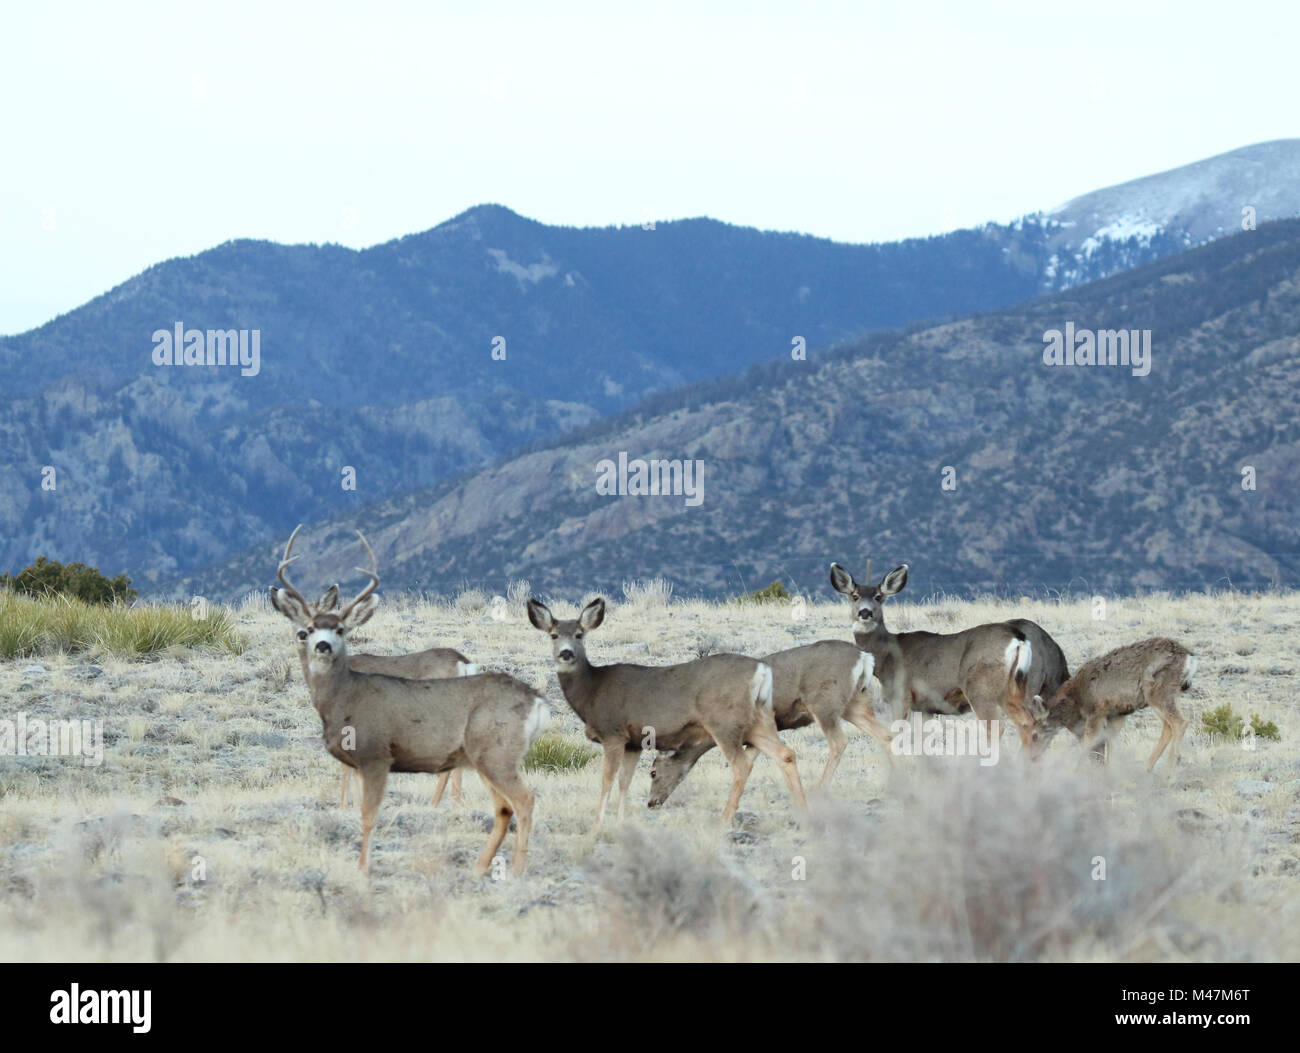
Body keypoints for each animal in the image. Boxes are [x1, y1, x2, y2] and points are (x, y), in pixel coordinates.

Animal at [526, 597, 807, 833]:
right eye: (553, 635)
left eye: (579, 634)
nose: (566, 653)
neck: (591, 692)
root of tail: (761, 670)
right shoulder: (633, 742)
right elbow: (624, 782)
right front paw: (620, 823)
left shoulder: (613, 733)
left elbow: (607, 780)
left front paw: (597, 827)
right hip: (759, 719)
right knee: (785, 754)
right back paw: (803, 812)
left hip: (723, 721)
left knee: (742, 765)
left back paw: (725, 819)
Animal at [647, 641, 889, 808]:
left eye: (653, 772)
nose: (651, 803)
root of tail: (864, 657)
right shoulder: (755, 736)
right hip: (856, 702)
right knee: (885, 735)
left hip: (824, 702)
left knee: (839, 742)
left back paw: (819, 790)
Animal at [829, 560, 1041, 747]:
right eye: (855, 596)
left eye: (879, 597)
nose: (865, 612)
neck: (887, 656)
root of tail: (1018, 637)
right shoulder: (925, 706)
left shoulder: (900, 694)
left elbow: (899, 732)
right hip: (1014, 688)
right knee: (1028, 722)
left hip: (981, 688)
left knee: (997, 728)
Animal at [1026, 637, 1196, 771]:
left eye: (1034, 735)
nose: (1032, 757)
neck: (1076, 701)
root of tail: (1189, 658)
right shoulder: (1116, 714)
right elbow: (1111, 743)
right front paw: (1110, 772)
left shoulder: (1096, 711)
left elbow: (1089, 742)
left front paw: (1075, 772)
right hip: (1168, 694)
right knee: (1168, 725)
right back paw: (1148, 767)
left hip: (1158, 691)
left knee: (1180, 722)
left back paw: (1169, 774)